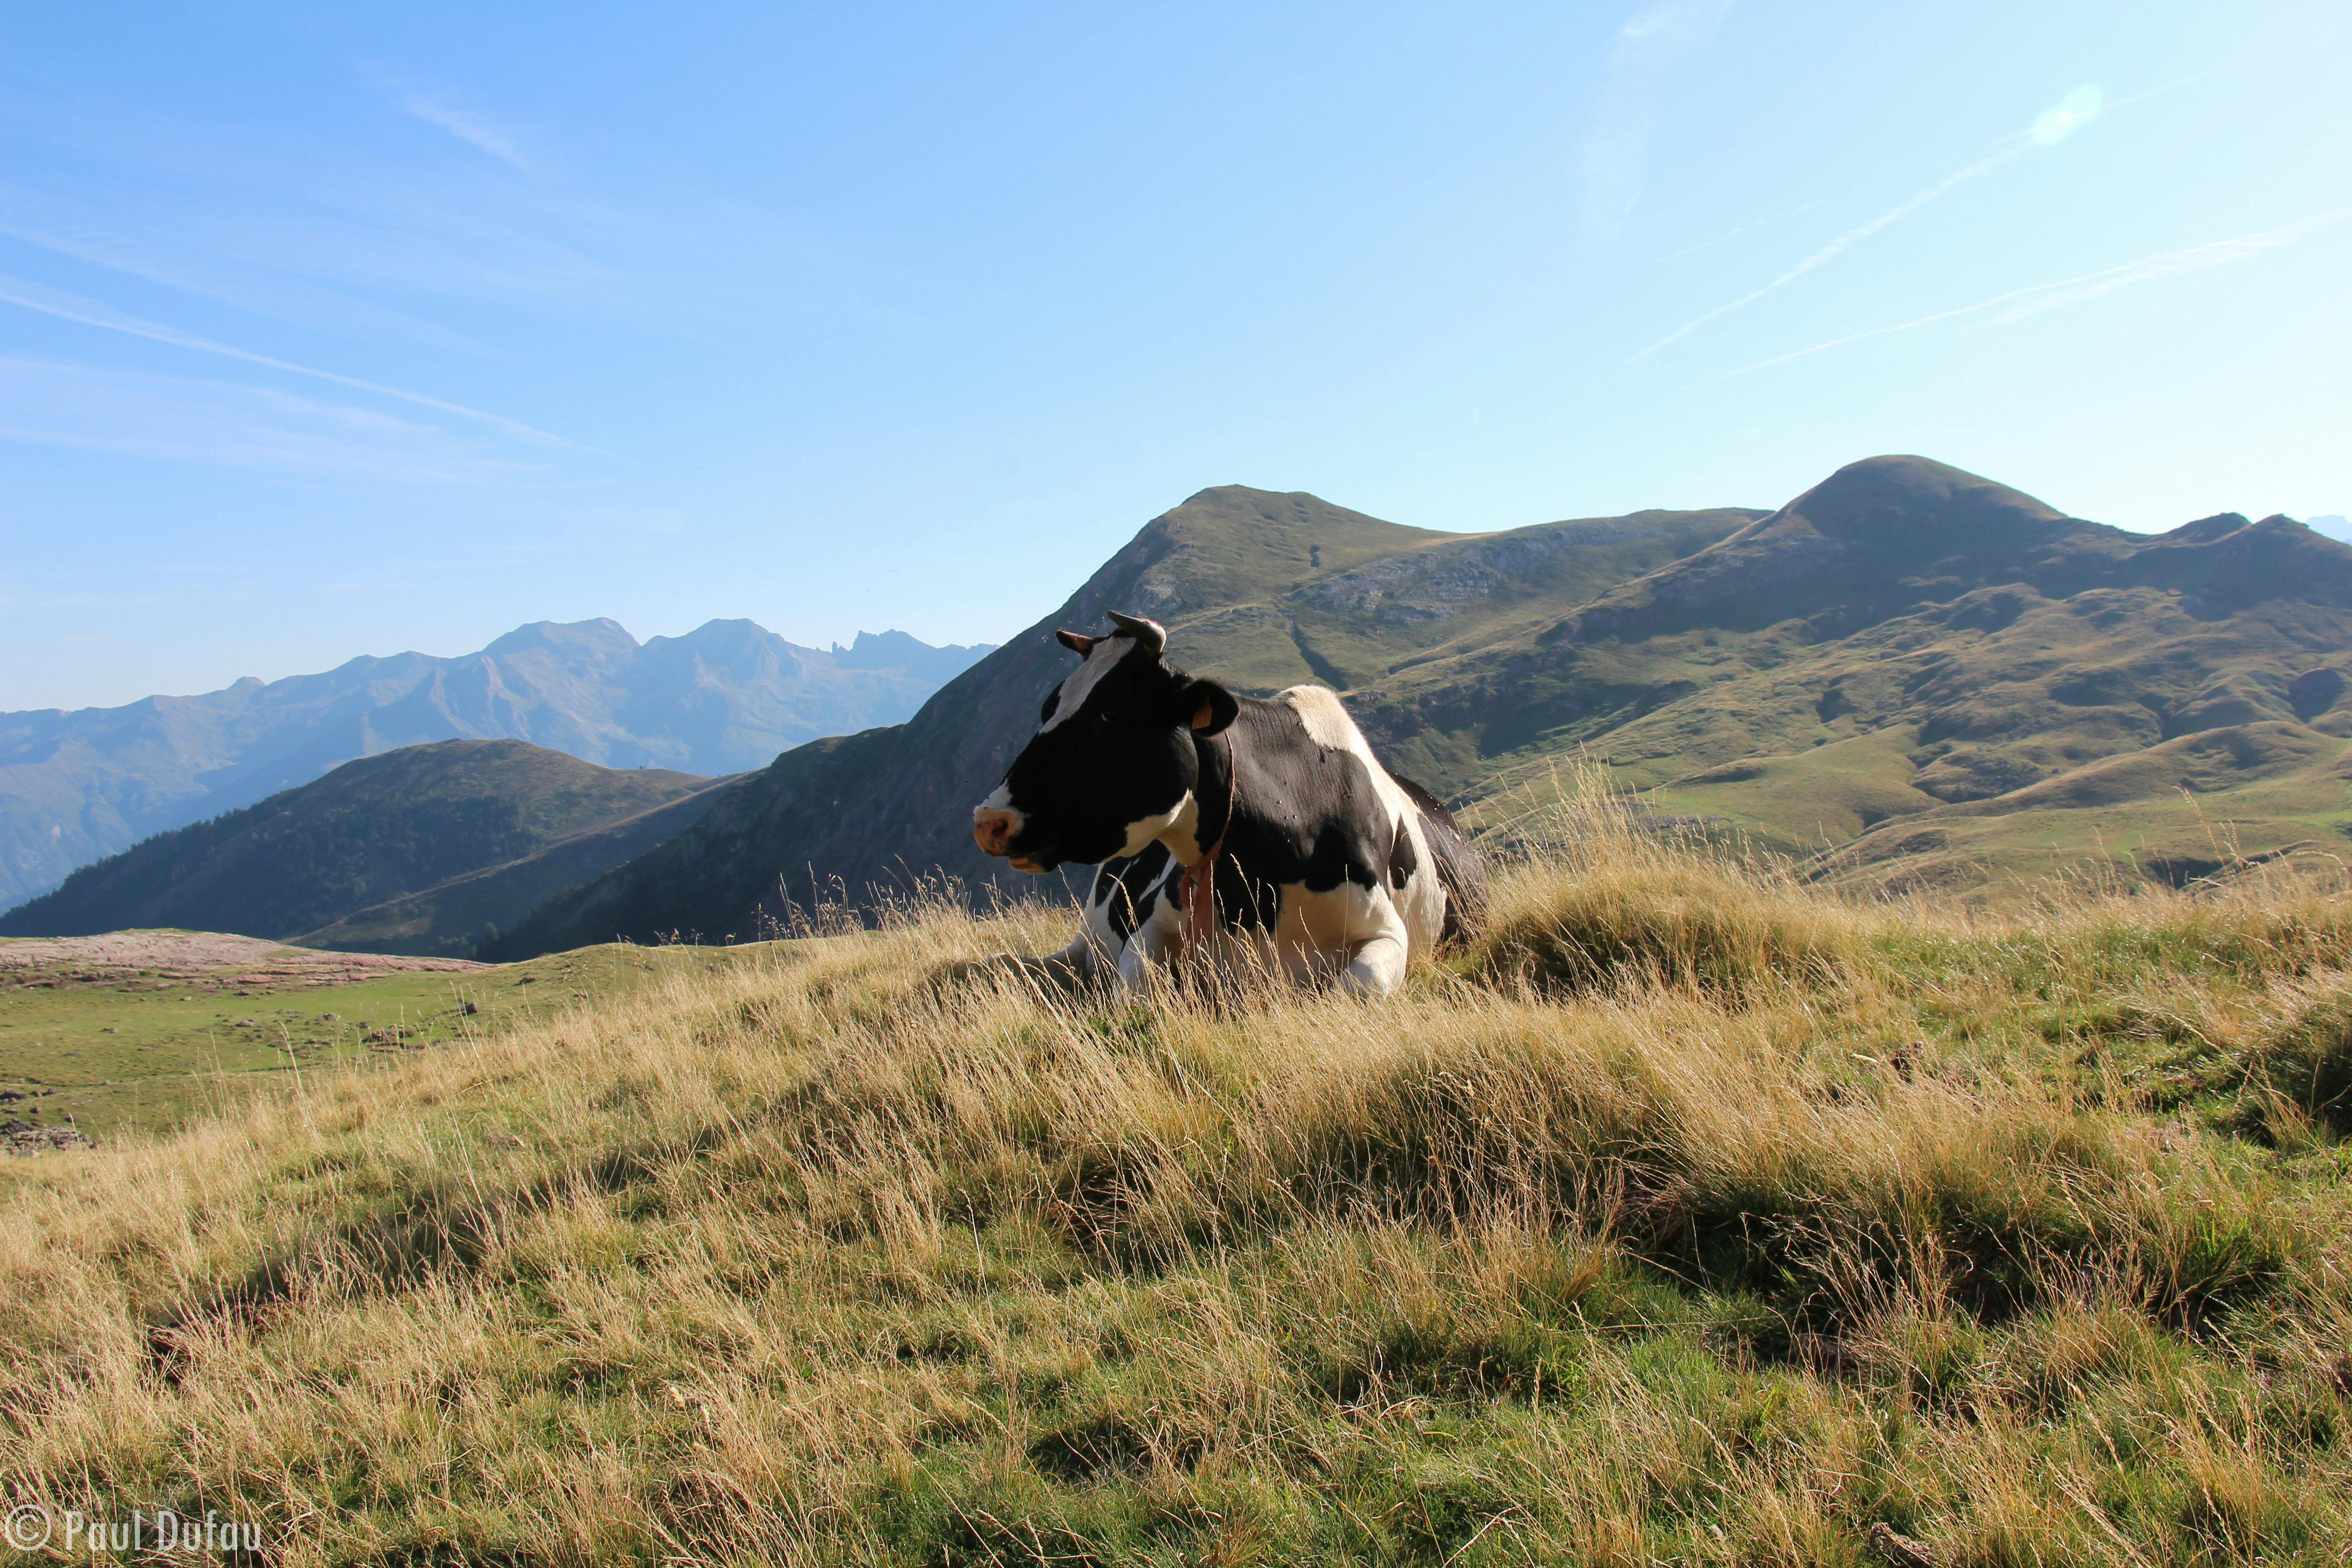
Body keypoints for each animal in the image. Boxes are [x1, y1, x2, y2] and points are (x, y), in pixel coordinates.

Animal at [971, 611, 1487, 996]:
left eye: (1109, 713)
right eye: (1048, 708)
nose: (989, 821)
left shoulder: (1385, 932)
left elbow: (1358, 988)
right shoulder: (1155, 924)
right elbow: (1136, 985)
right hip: (1089, 928)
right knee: (1039, 962)